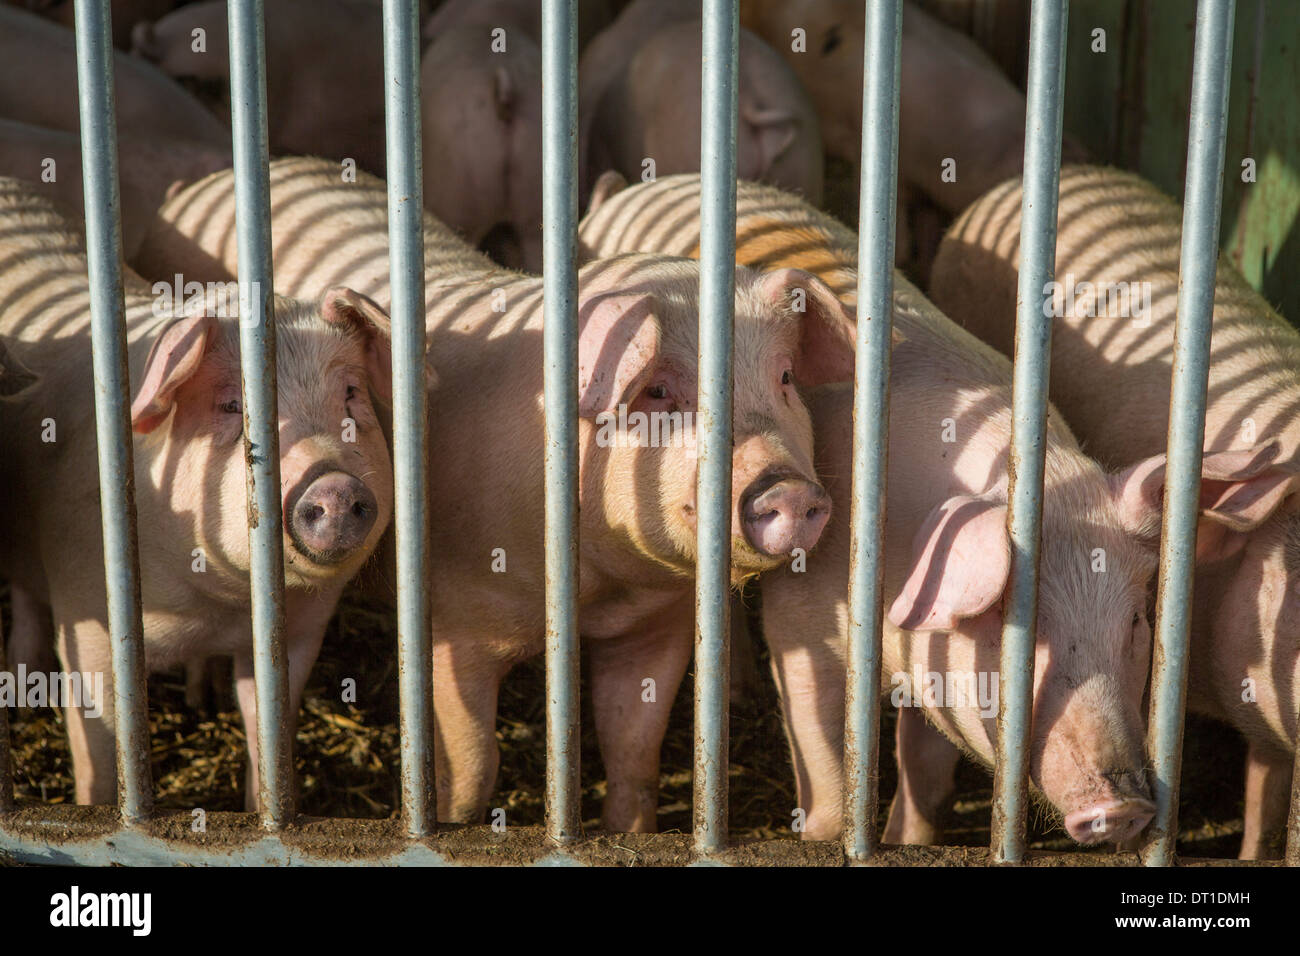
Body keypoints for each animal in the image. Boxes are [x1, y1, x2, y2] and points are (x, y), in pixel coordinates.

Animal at [0, 176, 394, 808]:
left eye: (351, 395)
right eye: (232, 405)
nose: (333, 484)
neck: (215, 606)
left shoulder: (298, 631)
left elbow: (268, 730)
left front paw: (266, 809)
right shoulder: (88, 620)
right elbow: (100, 749)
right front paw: (98, 806)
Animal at [134, 157, 853, 831]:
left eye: (785, 378)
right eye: (656, 390)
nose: (789, 489)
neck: (600, 587)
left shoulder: (656, 625)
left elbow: (634, 751)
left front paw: (629, 830)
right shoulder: (455, 622)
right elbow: (477, 760)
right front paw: (449, 822)